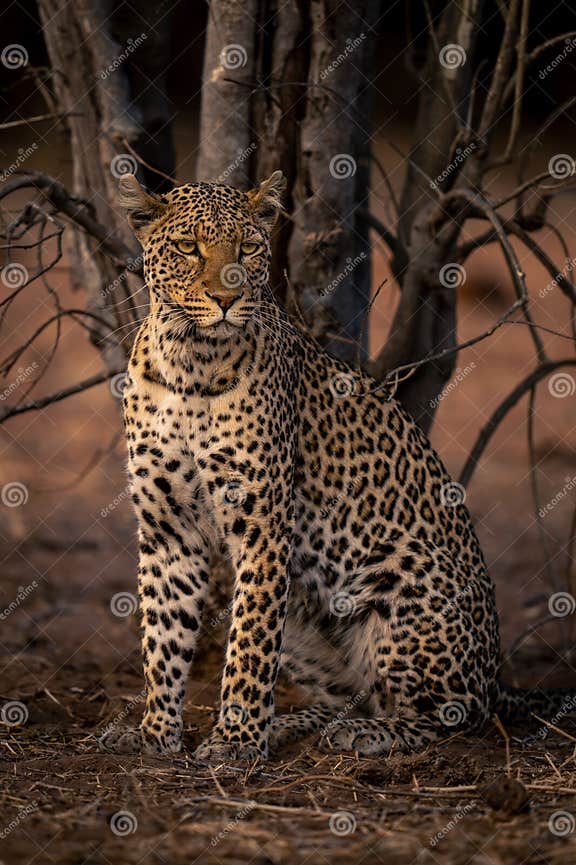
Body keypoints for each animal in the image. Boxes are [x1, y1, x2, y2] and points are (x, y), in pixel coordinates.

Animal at [99, 170, 576, 763]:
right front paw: (155, 732)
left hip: (406, 578)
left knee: (451, 714)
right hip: (307, 616)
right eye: (189, 248)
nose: (227, 299)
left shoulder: (262, 522)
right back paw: (298, 723)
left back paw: (368, 735)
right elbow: (163, 635)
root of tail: (496, 677)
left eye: (249, 248)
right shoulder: (168, 525)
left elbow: (250, 643)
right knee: (351, 697)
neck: (191, 361)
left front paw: (236, 741)